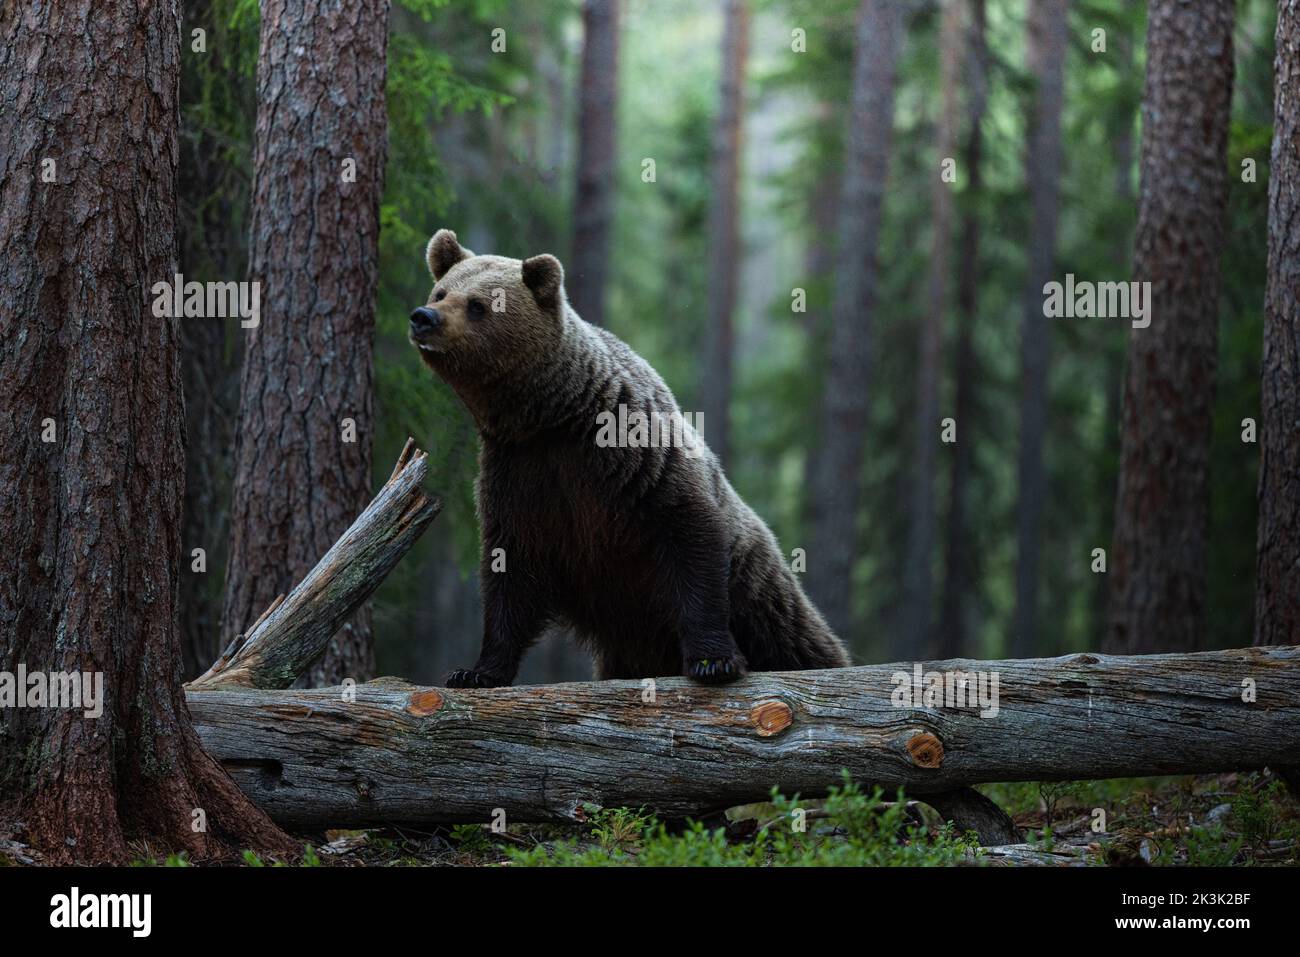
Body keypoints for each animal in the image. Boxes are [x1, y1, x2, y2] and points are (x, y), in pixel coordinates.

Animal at [410, 228, 850, 686]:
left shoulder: (634, 460)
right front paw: (476, 671)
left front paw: (713, 661)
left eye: (477, 304)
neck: (552, 417)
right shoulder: (520, 475)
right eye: (441, 291)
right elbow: (510, 573)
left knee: (799, 642)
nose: (424, 316)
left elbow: (691, 541)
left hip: (765, 601)